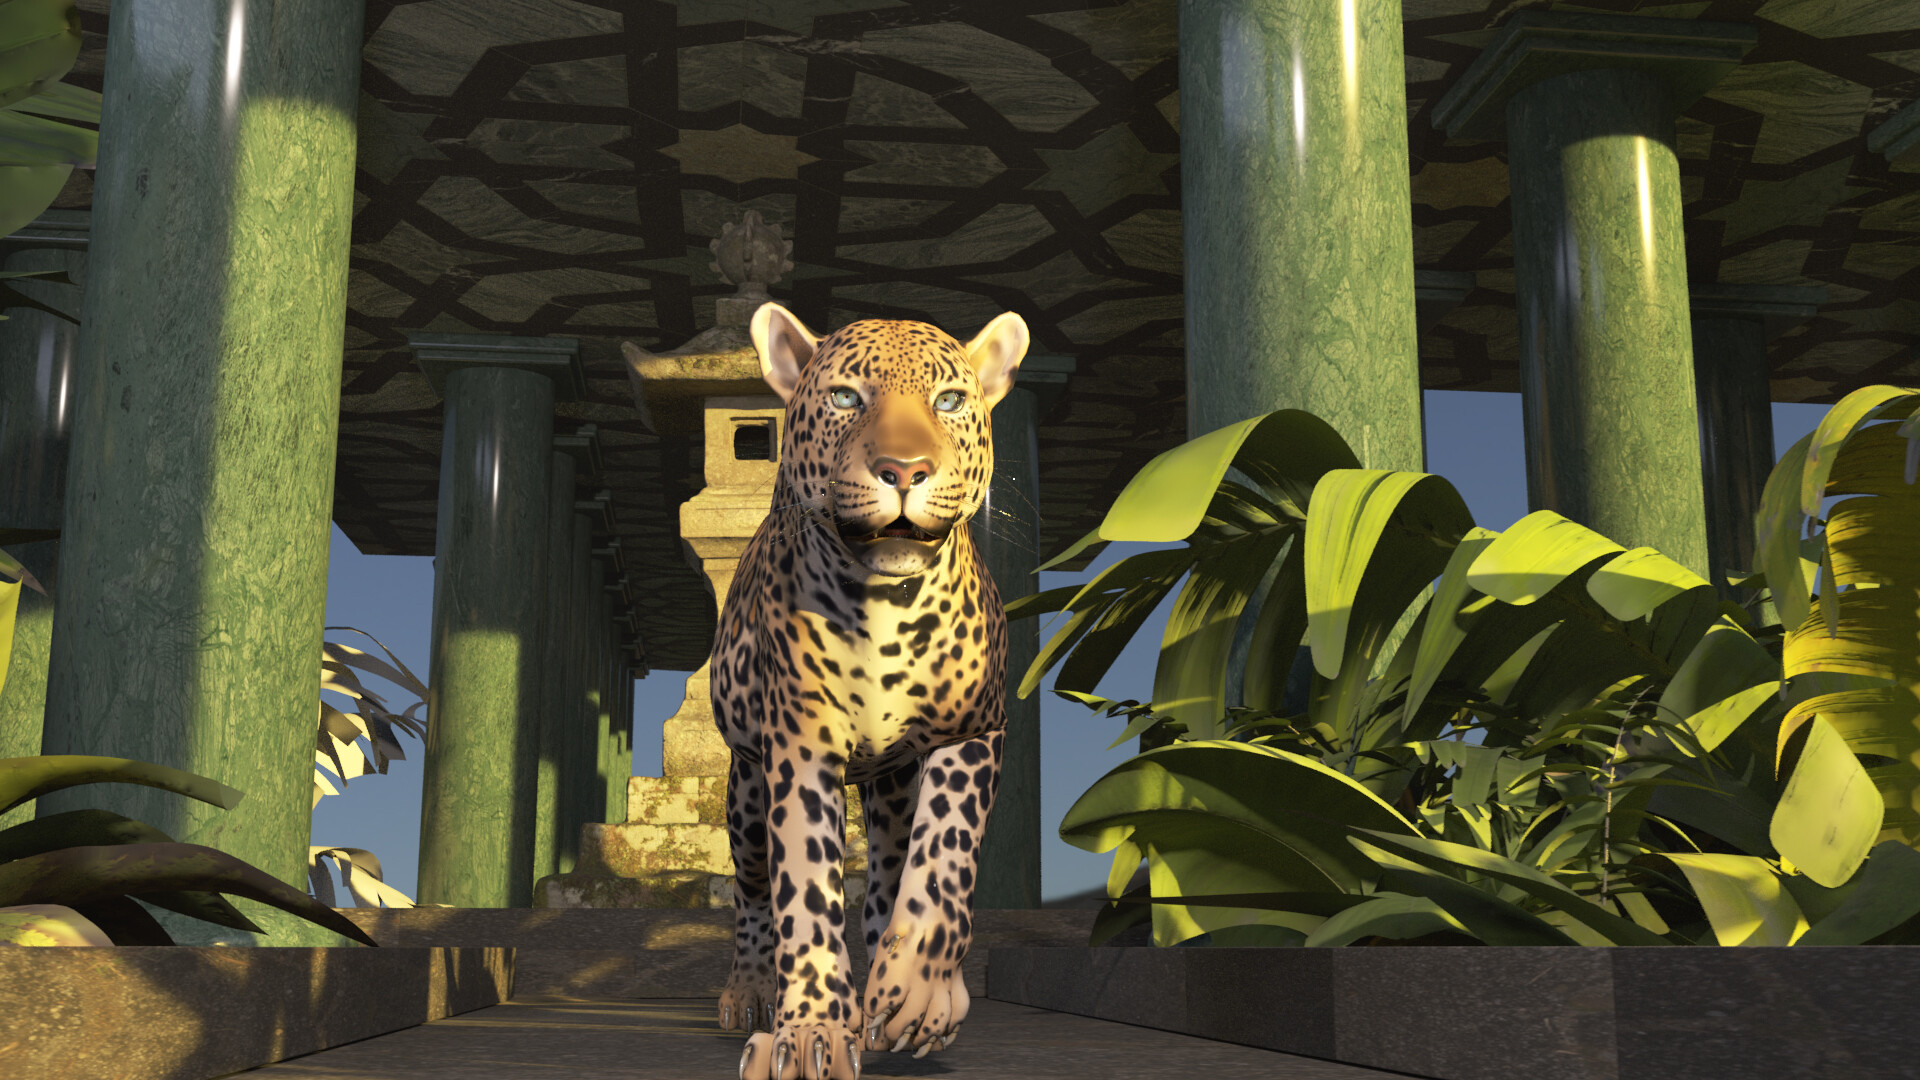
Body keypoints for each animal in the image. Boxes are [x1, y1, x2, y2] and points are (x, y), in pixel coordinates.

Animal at [711, 301, 1028, 1080]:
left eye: (949, 400)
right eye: (846, 397)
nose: (904, 470)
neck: (889, 603)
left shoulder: (973, 730)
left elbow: (944, 857)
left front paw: (918, 993)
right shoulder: (800, 749)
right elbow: (805, 888)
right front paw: (808, 1034)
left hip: (890, 786)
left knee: (890, 871)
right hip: (745, 792)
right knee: (753, 891)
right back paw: (752, 994)